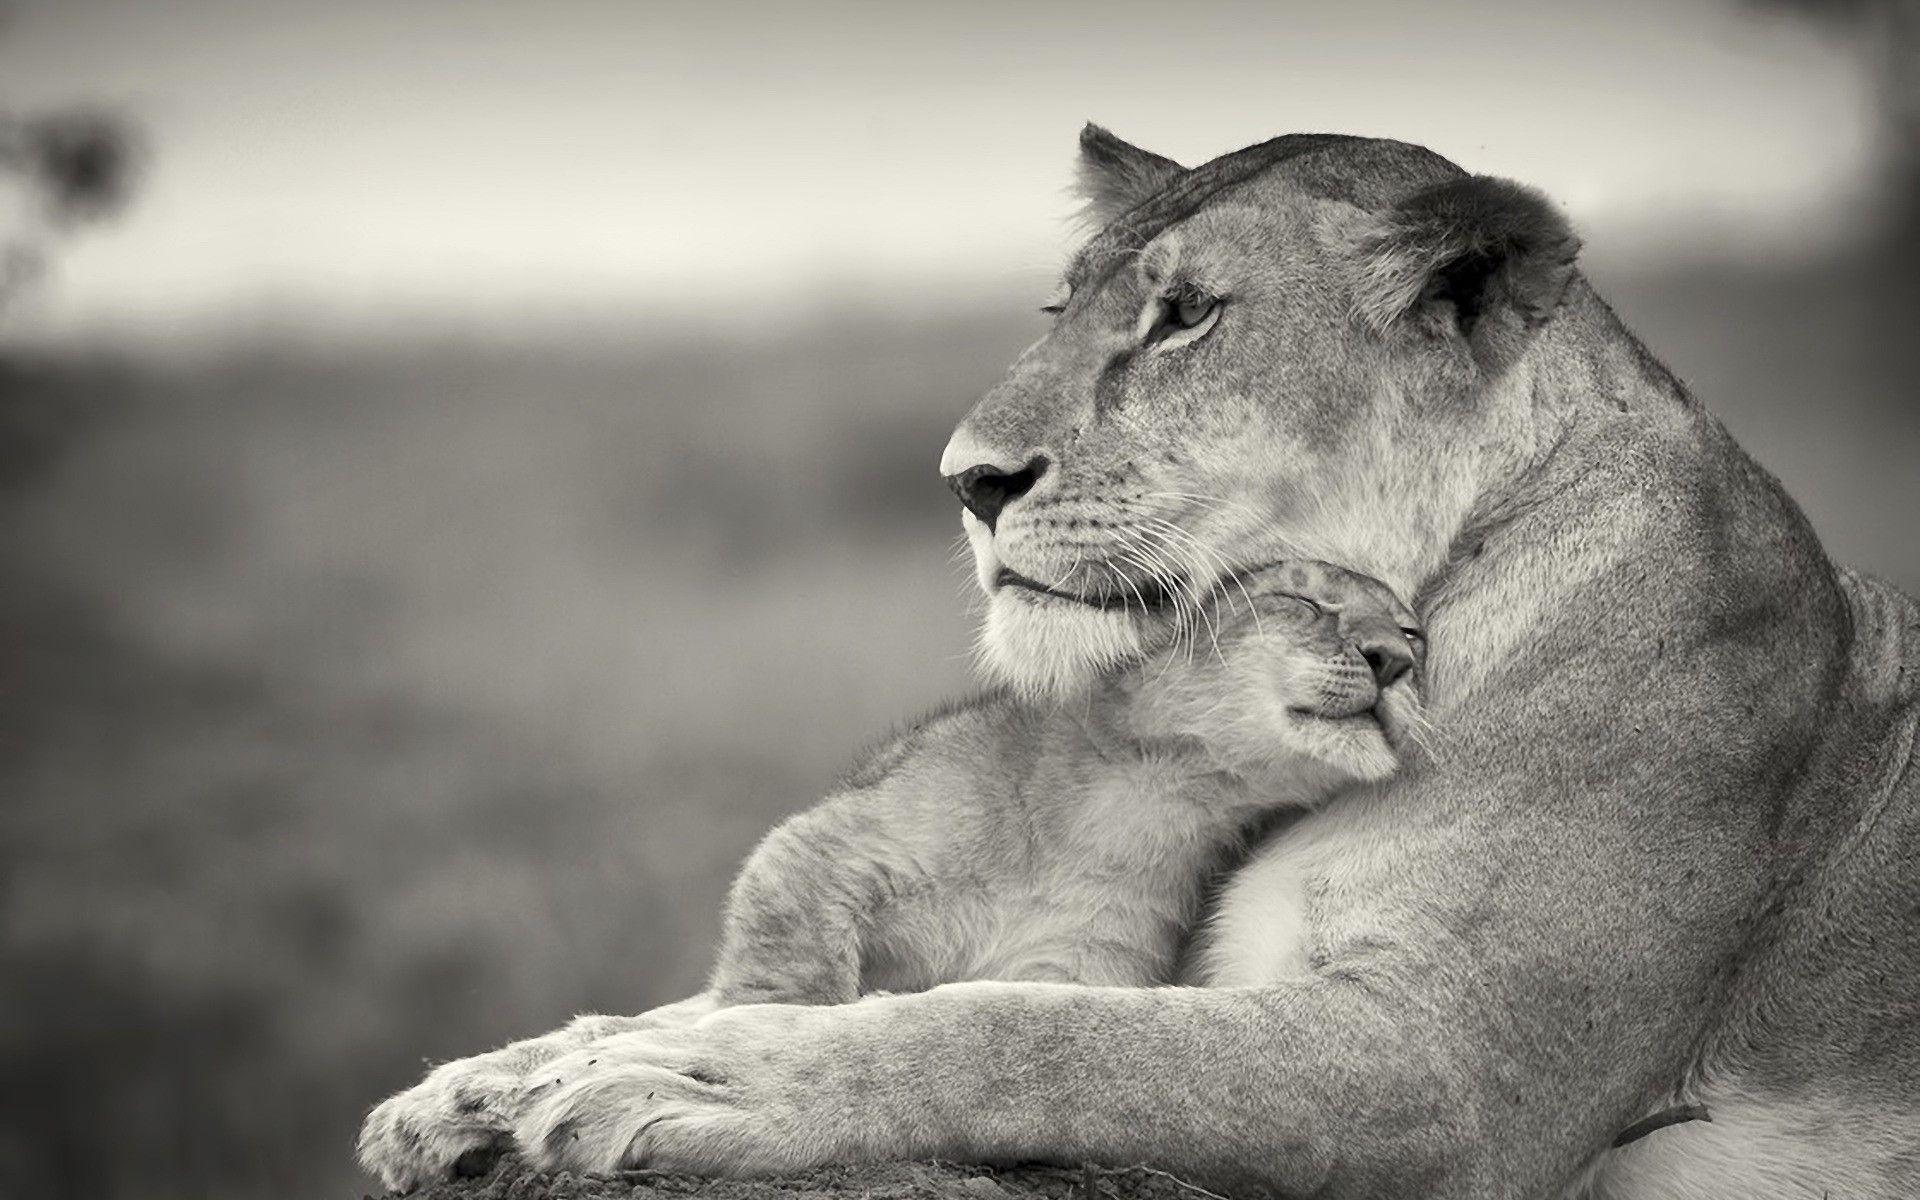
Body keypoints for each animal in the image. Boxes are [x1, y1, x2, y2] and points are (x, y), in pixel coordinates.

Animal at [360, 127, 1920, 1198]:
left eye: (1187, 316)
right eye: (1063, 314)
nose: (967, 481)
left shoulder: (1458, 1072)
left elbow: (1041, 1035)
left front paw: (705, 1079)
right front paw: (484, 1087)